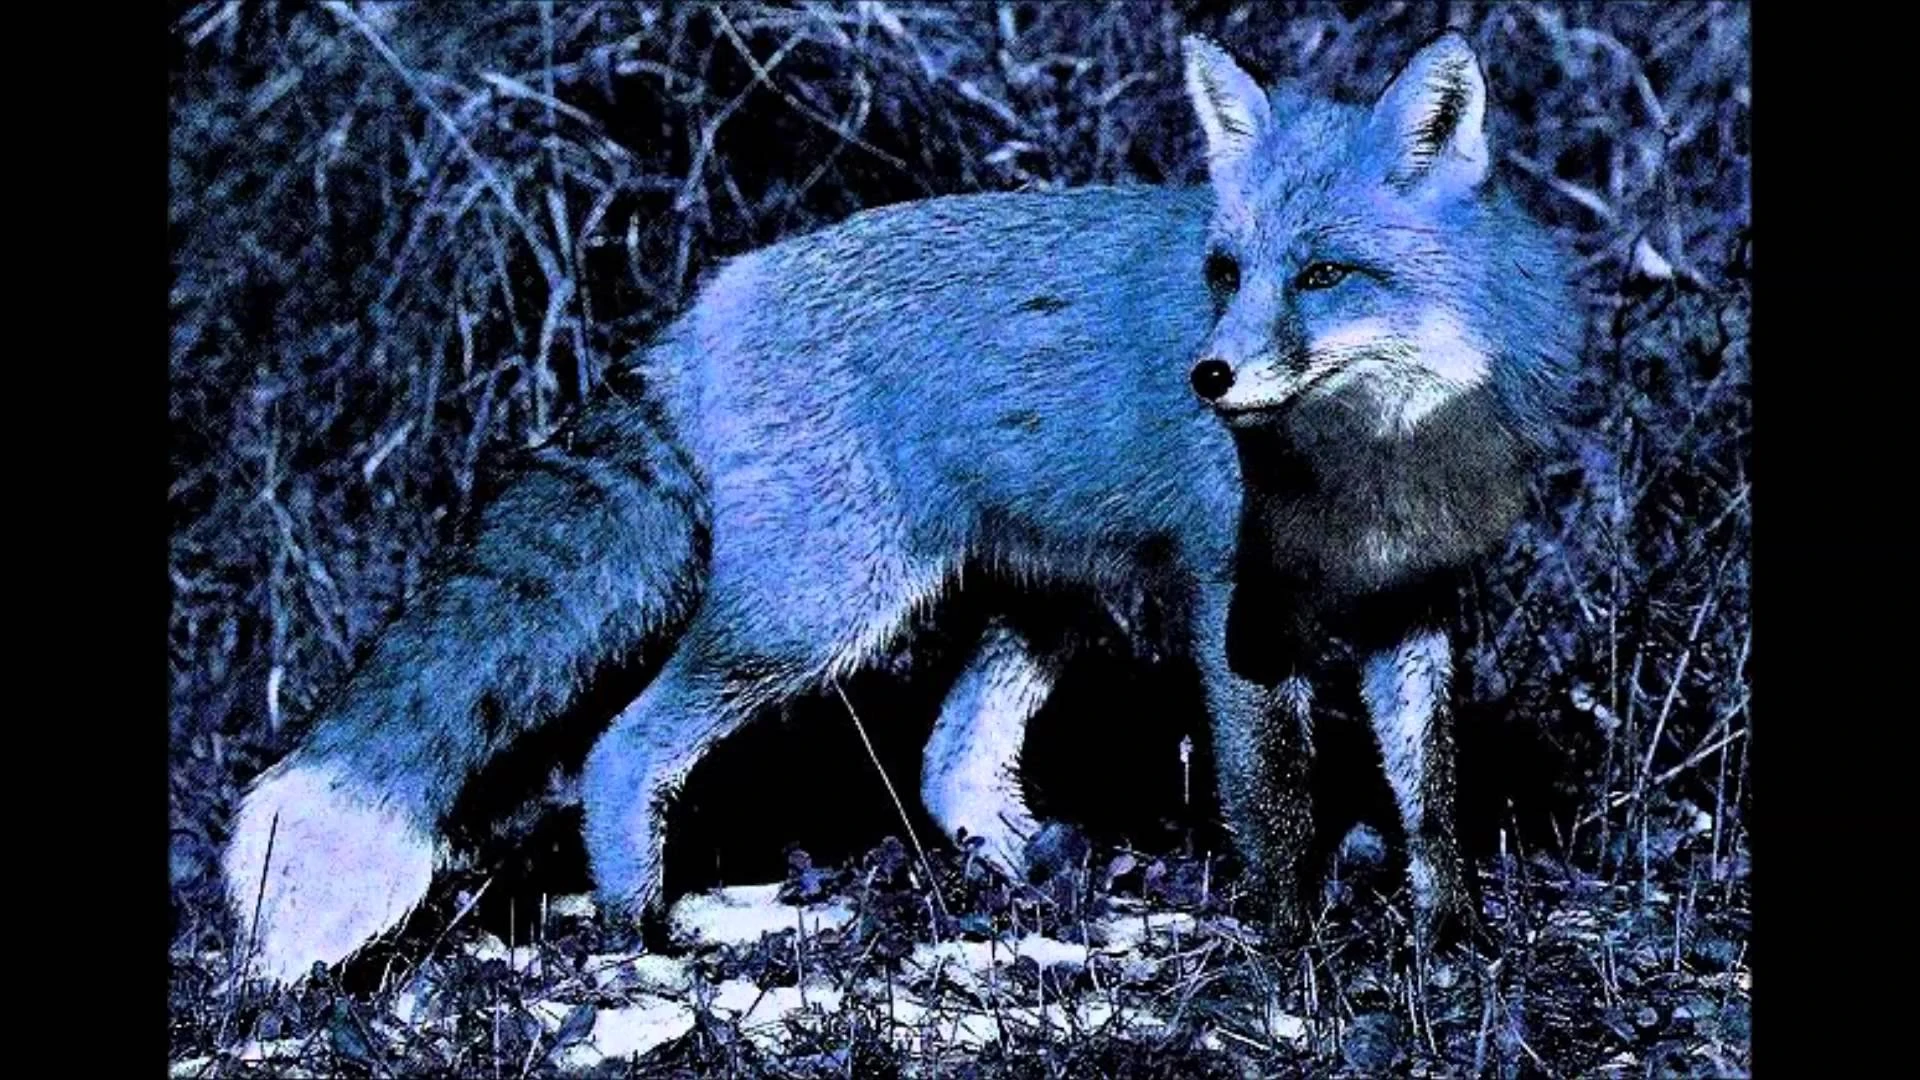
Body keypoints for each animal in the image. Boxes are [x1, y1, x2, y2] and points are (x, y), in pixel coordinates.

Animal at [221, 31, 1580, 986]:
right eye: (1226, 272)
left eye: (1326, 273)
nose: (1208, 378)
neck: (1378, 453)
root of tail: (707, 304)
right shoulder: (1234, 612)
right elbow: (1277, 803)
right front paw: (1300, 958)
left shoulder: (1416, 606)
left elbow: (1433, 799)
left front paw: (1450, 938)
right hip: (823, 610)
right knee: (626, 747)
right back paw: (643, 929)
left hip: (1036, 607)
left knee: (948, 759)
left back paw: (1026, 878)